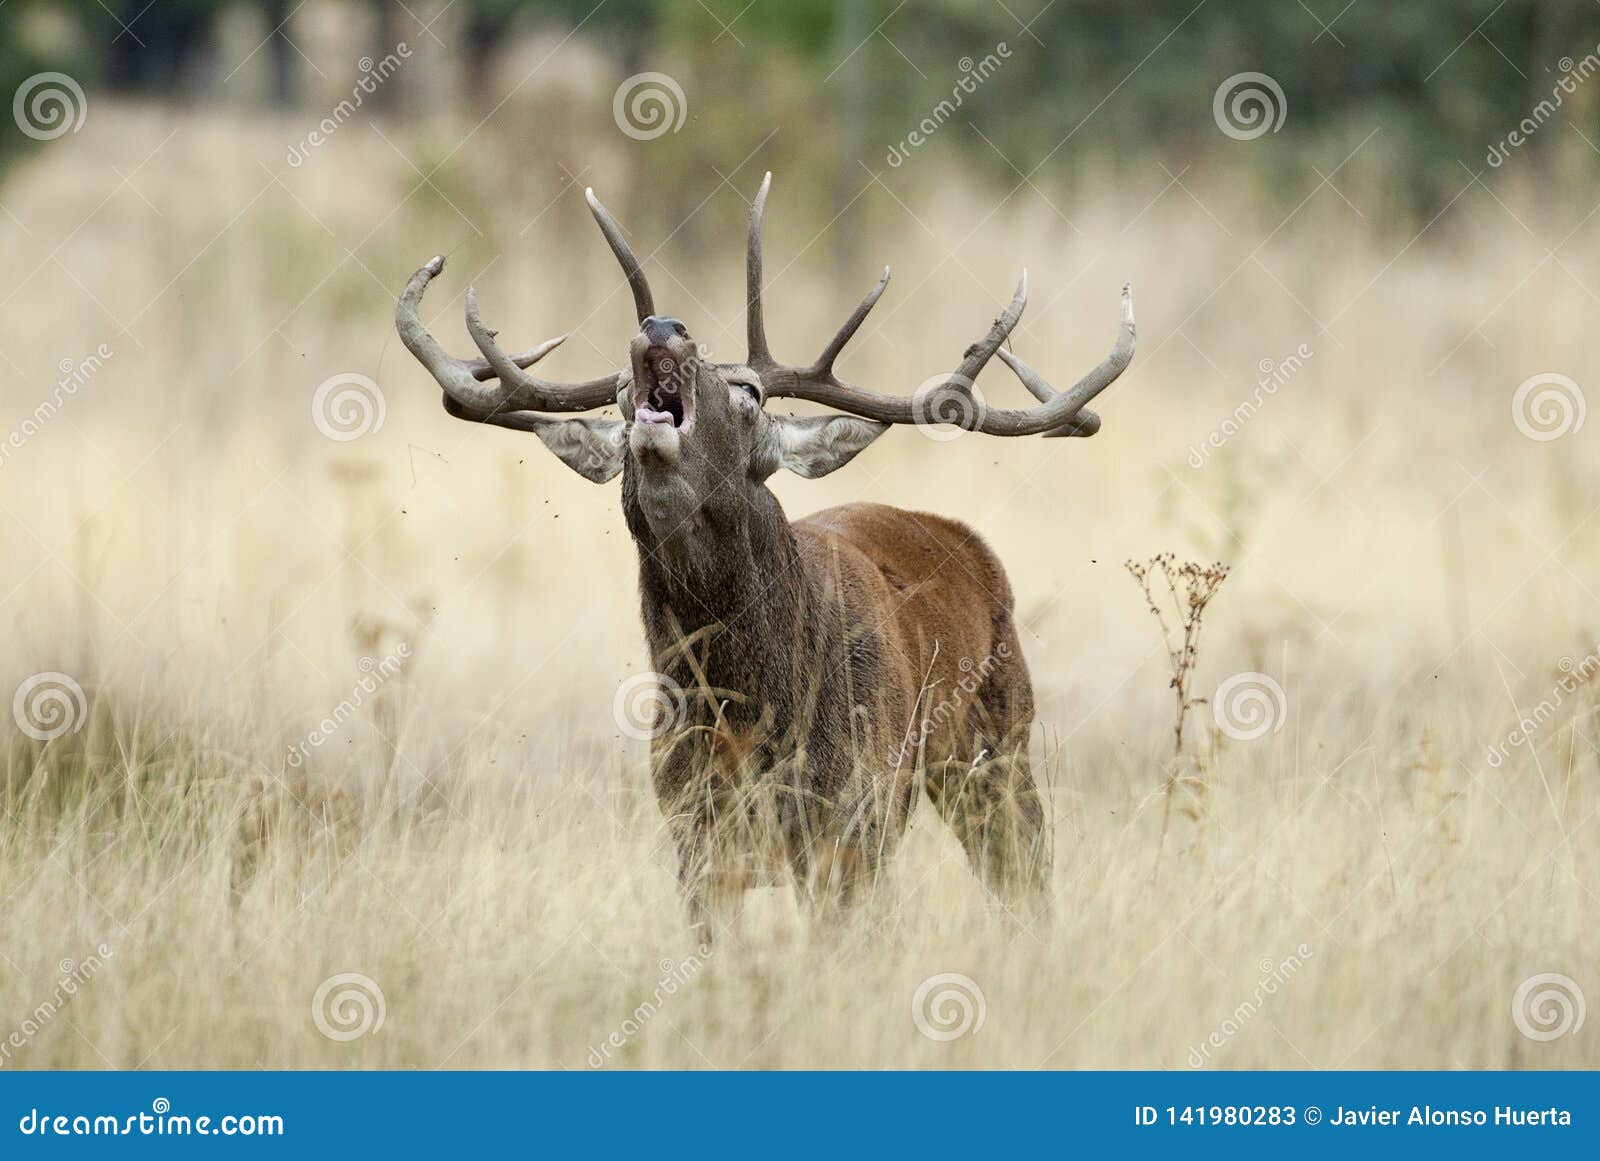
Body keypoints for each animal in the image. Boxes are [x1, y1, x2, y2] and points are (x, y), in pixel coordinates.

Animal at [396, 174, 1134, 939]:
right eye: (622, 396)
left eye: (748, 394)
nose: (663, 326)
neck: (750, 710)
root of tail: (967, 543)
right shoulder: (693, 832)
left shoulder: (853, 822)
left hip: (1002, 741)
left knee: (1027, 878)